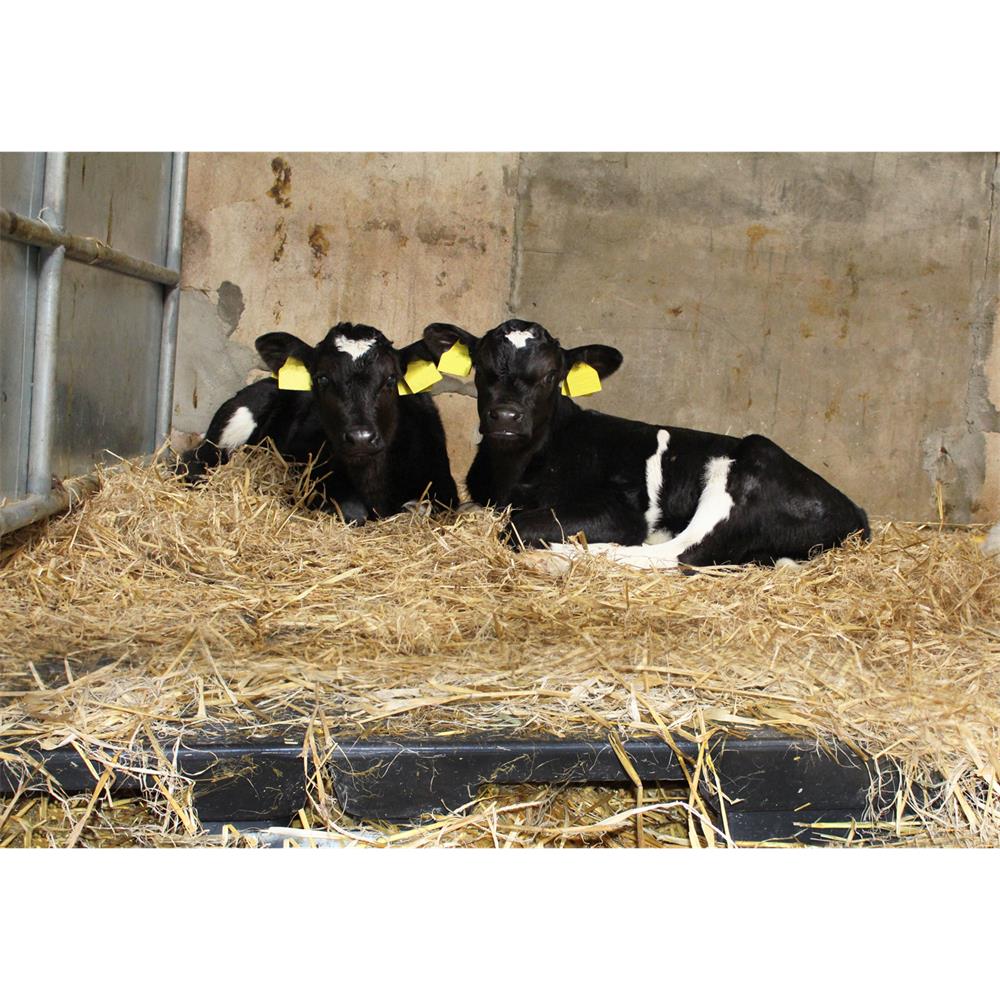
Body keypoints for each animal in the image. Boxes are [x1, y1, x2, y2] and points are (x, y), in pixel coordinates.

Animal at [421, 319, 870, 568]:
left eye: (550, 375)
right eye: (482, 367)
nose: (507, 416)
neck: (512, 475)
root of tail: (855, 512)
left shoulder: (618, 512)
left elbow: (514, 528)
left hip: (746, 467)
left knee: (676, 555)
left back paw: (558, 559)